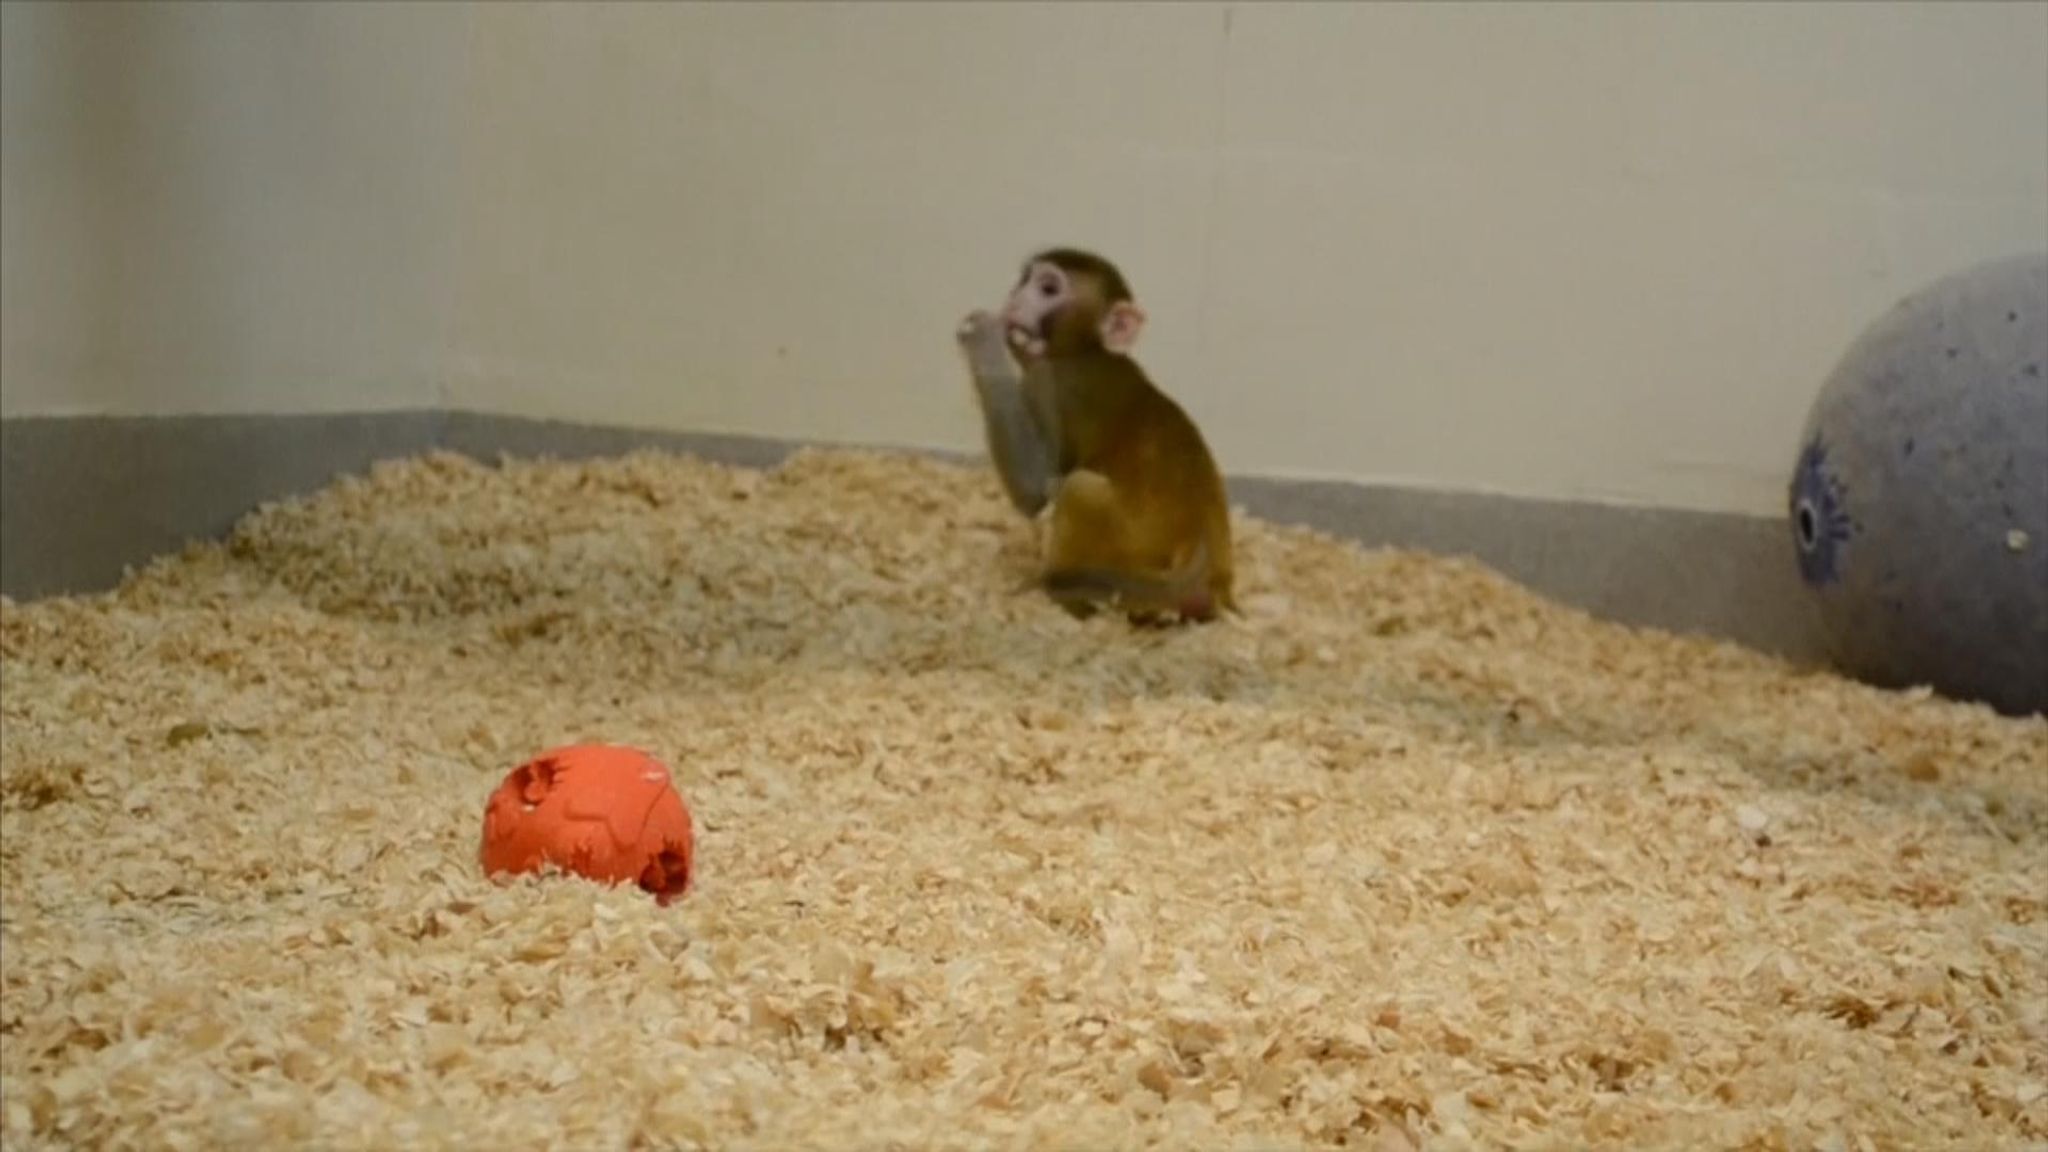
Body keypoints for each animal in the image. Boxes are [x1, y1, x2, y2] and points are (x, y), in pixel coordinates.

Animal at [956, 246, 1236, 624]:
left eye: (1047, 289)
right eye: (1025, 280)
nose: (1014, 299)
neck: (1088, 349)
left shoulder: (1050, 380)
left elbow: (1035, 490)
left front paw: (982, 336)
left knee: (1079, 489)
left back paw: (1060, 590)